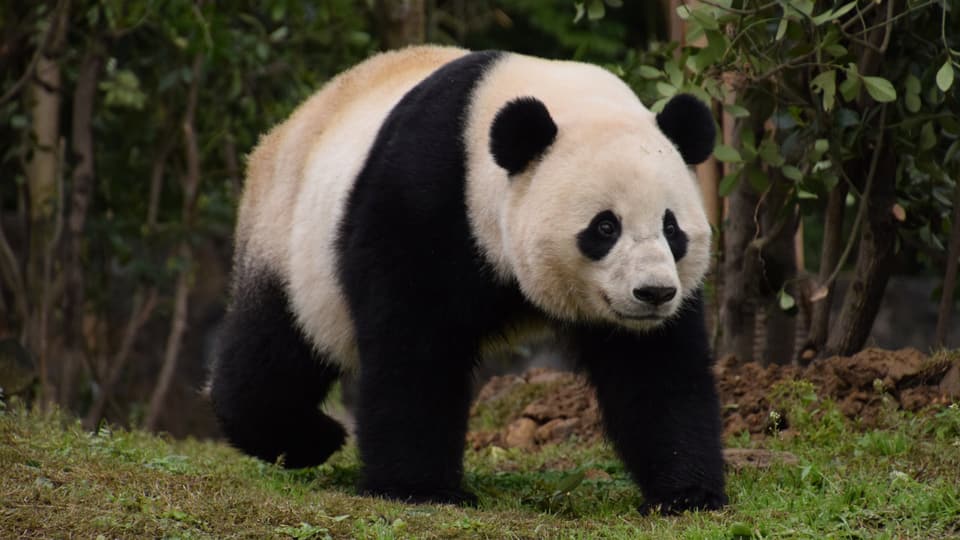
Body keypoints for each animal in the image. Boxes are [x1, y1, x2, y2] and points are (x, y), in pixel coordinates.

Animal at [209, 45, 726, 514]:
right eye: (605, 227)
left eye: (672, 228)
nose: (654, 293)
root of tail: (288, 126)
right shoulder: (424, 197)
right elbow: (415, 347)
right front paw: (420, 489)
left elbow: (655, 369)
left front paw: (686, 493)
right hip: (291, 241)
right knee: (276, 349)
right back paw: (306, 438)